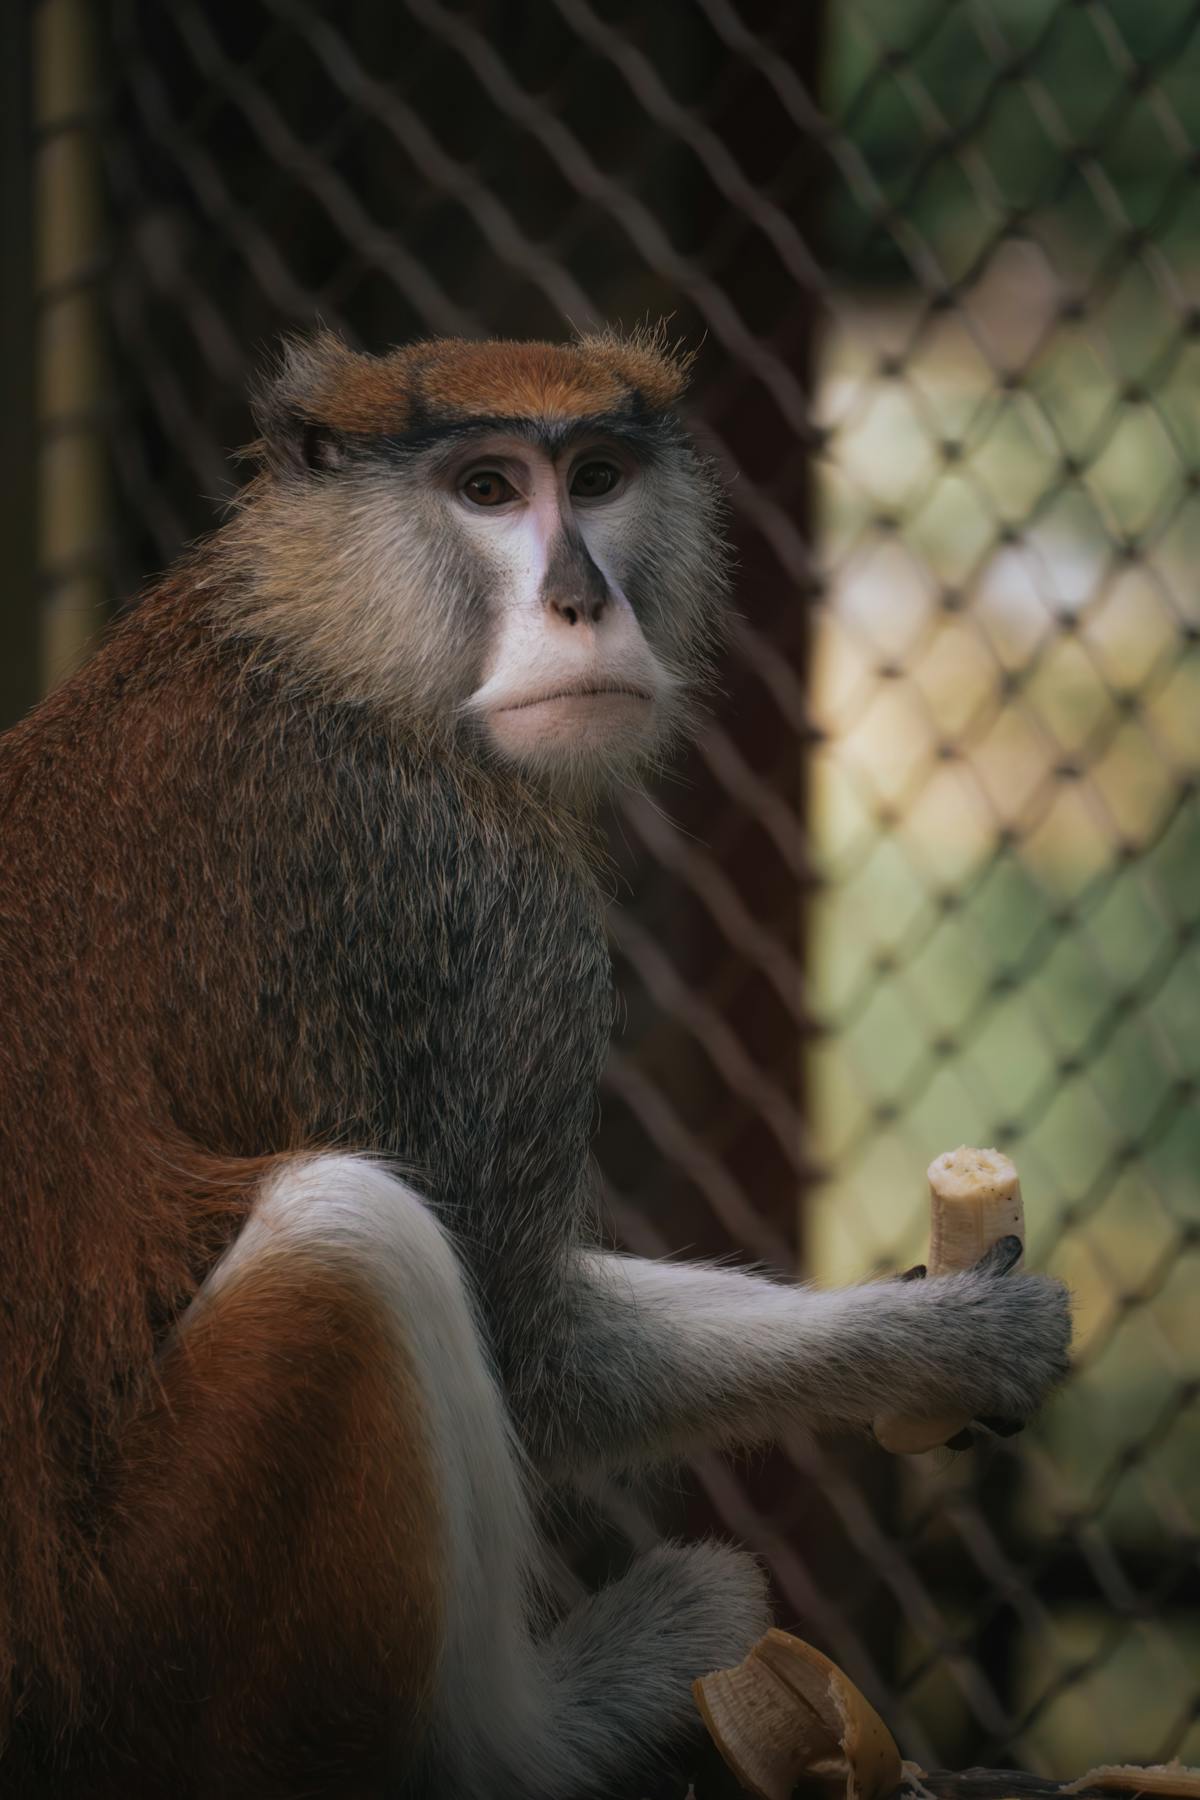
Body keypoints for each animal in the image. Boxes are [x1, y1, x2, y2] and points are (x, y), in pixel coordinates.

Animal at [0, 328, 1072, 1799]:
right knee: (352, 1239)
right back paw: (541, 1733)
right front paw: (935, 1342)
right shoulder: (472, 909)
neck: (322, 644)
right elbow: (531, 1344)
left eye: (602, 478)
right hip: (151, 1642)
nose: (581, 603)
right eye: (491, 489)